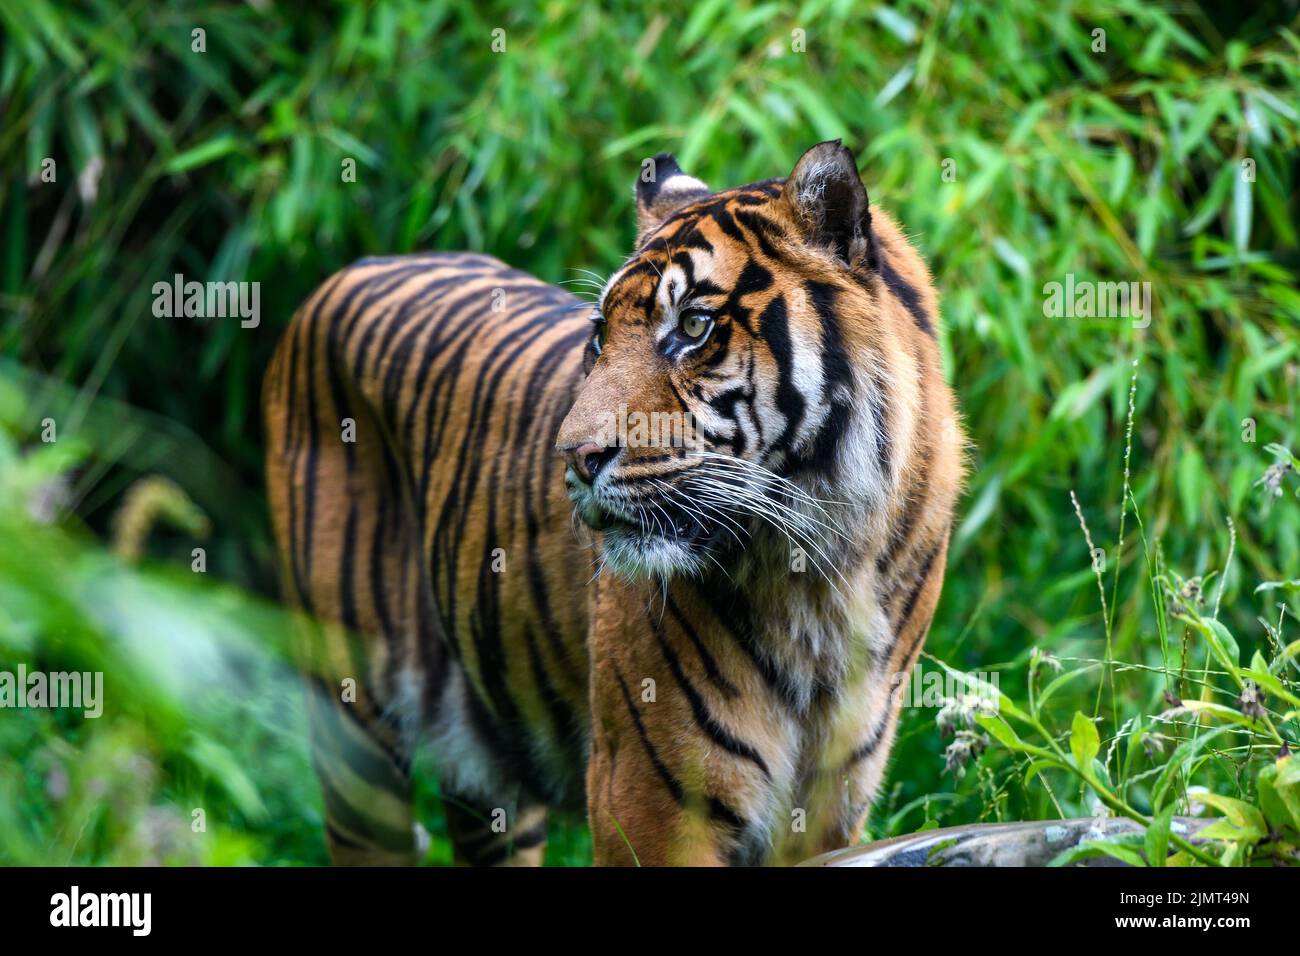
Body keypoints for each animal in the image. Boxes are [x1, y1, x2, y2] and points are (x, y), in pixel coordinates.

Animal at [262, 140, 963, 867]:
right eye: (600, 335)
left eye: (694, 325)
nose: (573, 455)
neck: (819, 569)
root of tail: (353, 268)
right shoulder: (649, 800)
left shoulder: (830, 811)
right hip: (354, 739)